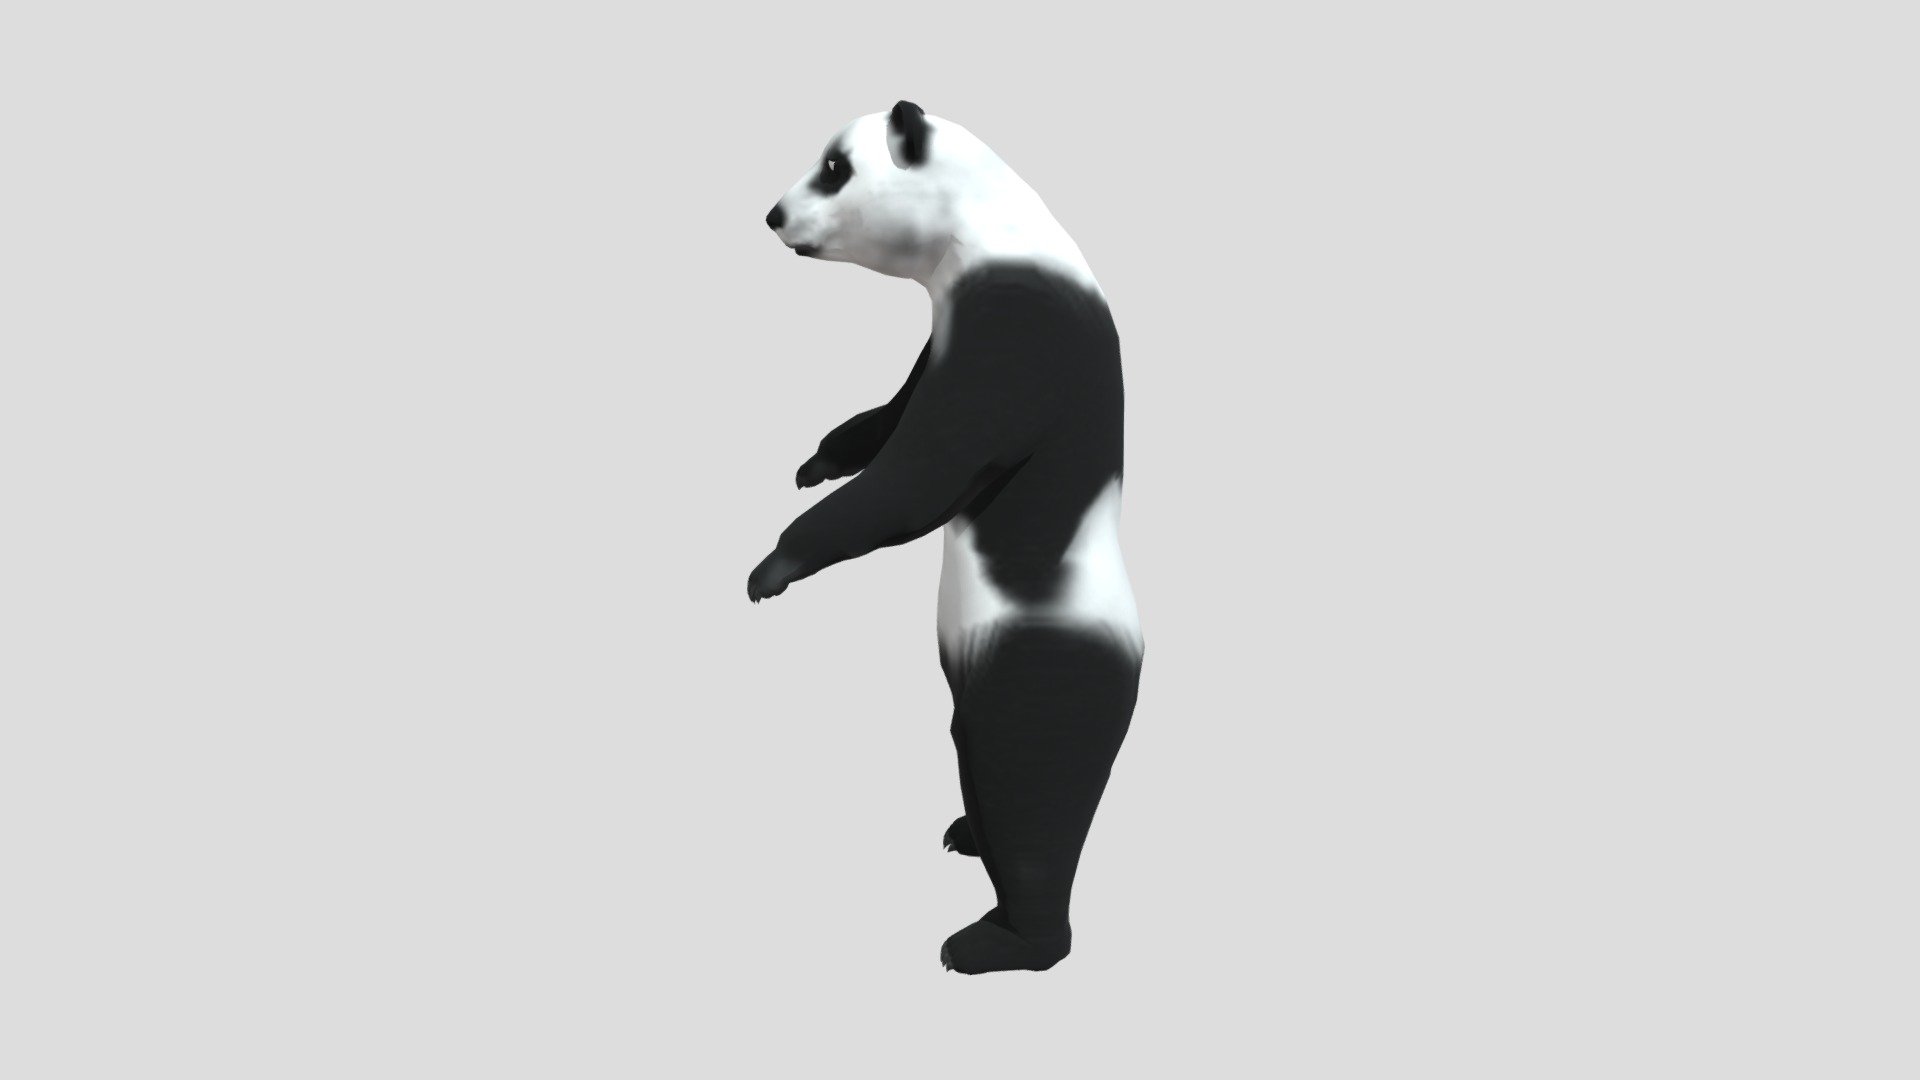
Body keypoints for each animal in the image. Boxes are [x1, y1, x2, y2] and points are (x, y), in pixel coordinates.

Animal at [746, 101, 1143, 974]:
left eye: (836, 169)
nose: (773, 216)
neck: (991, 222)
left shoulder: (1017, 325)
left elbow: (926, 472)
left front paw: (773, 566)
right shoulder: (949, 330)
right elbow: (895, 417)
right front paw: (818, 461)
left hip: (1042, 660)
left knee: (1029, 774)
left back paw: (999, 943)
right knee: (974, 753)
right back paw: (966, 836)